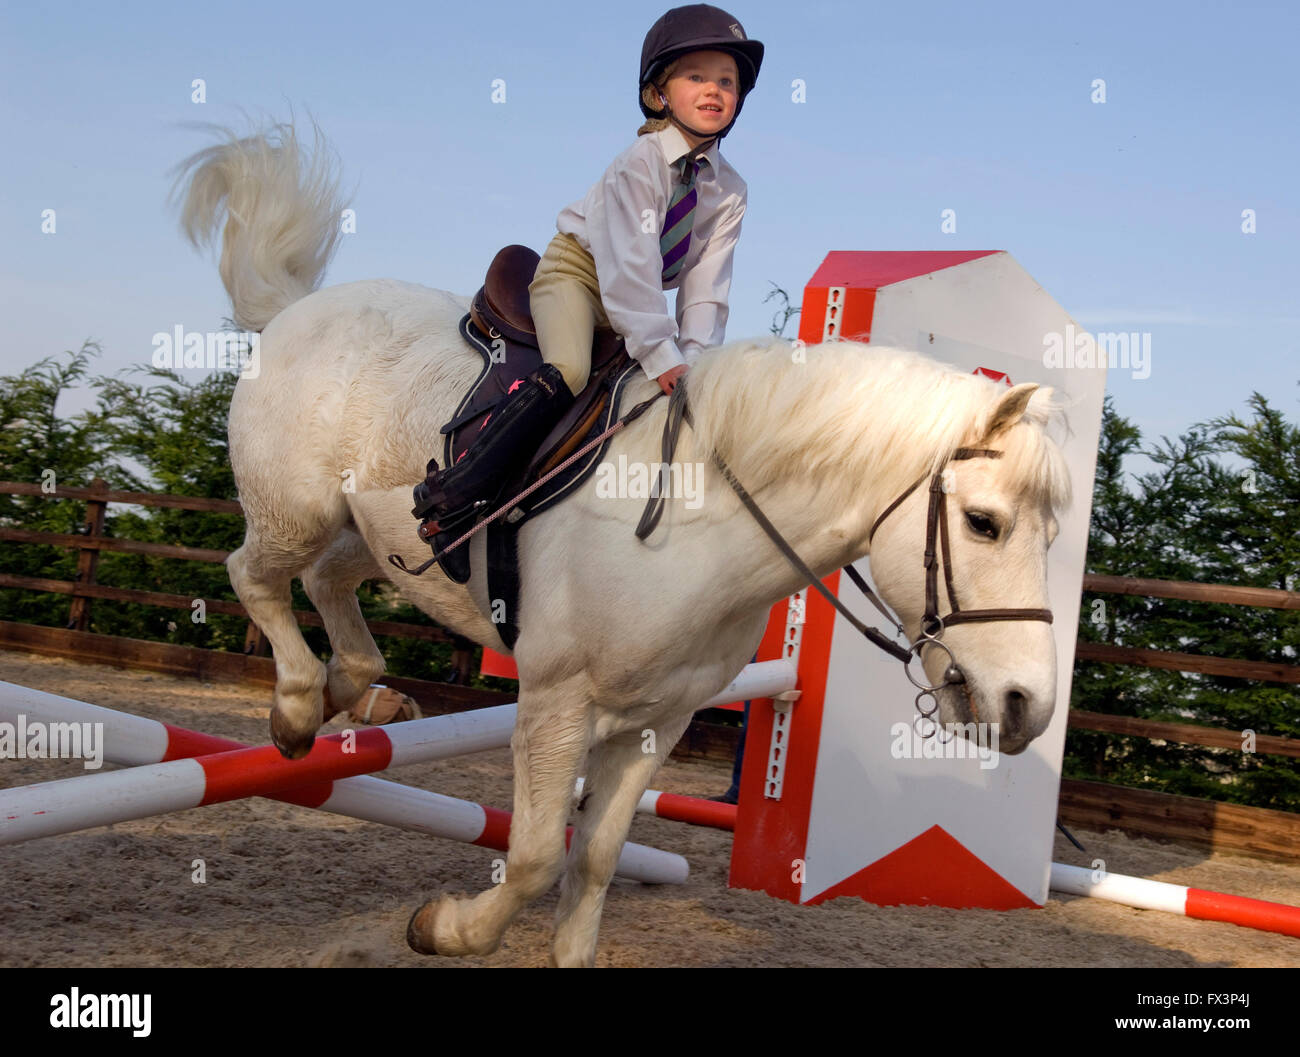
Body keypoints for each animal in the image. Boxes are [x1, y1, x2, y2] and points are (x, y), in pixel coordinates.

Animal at [172, 121, 1072, 967]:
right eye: (984, 522)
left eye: (1051, 534)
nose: (1026, 707)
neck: (701, 526)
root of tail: (296, 308)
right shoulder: (556, 703)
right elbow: (536, 856)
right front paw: (442, 926)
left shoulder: (657, 721)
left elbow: (596, 857)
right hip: (296, 509)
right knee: (253, 573)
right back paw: (297, 706)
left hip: (376, 532)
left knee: (331, 586)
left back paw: (344, 693)